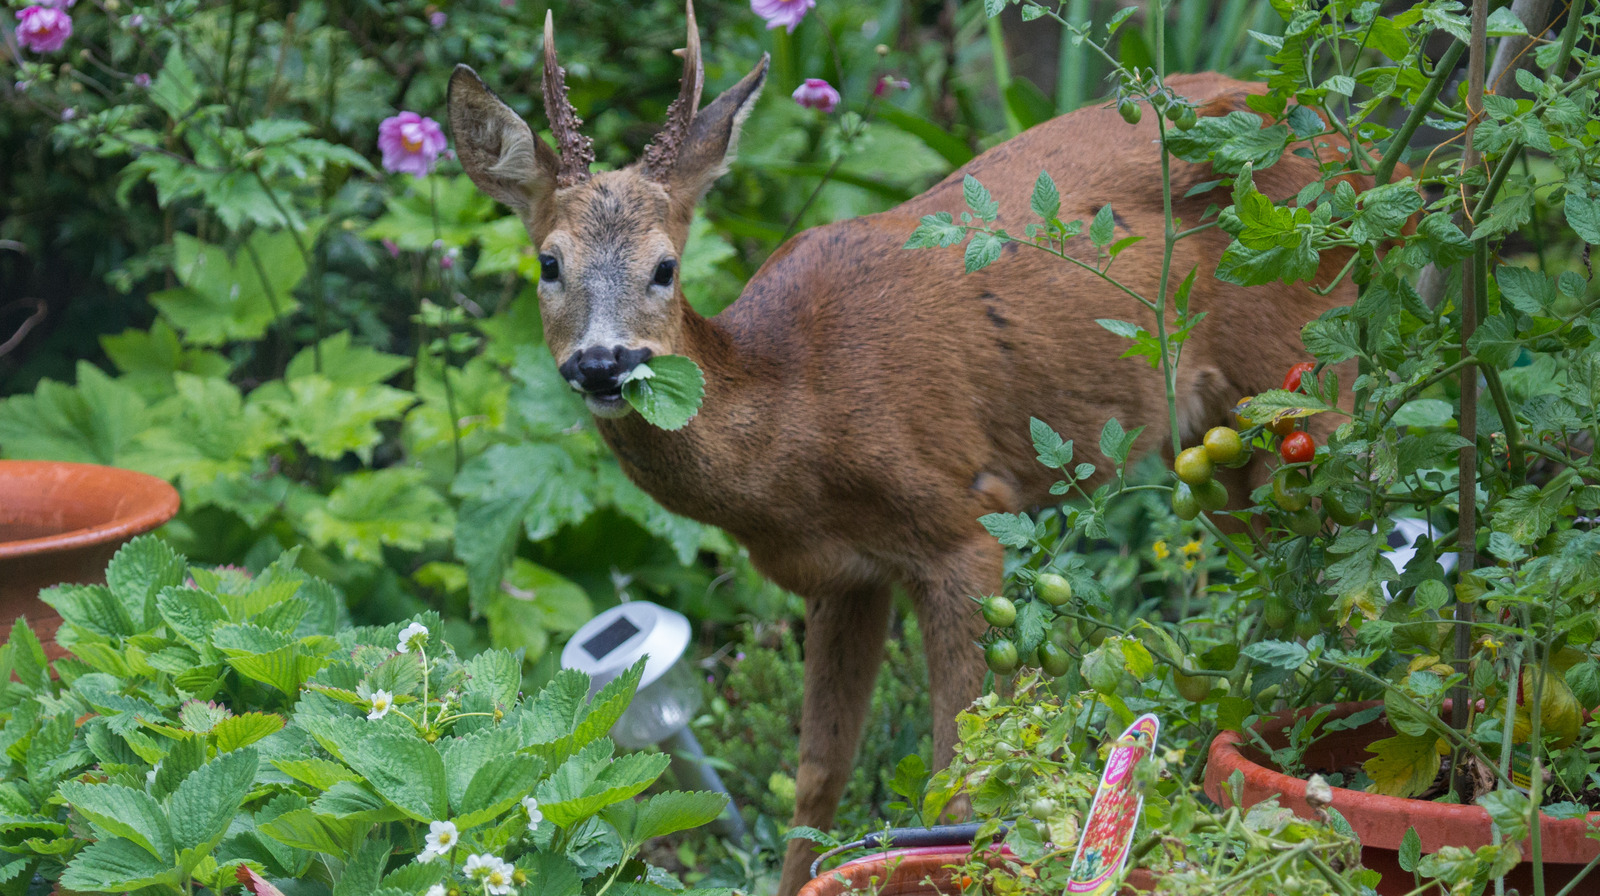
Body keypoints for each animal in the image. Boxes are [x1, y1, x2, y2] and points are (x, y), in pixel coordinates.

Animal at [448, 5, 1366, 893]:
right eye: (549, 263)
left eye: (666, 267)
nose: (604, 363)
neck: (800, 412)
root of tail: (1338, 137)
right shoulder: (841, 576)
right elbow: (818, 771)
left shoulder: (965, 523)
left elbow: (960, 772)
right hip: (1219, 446)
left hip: (1311, 367)